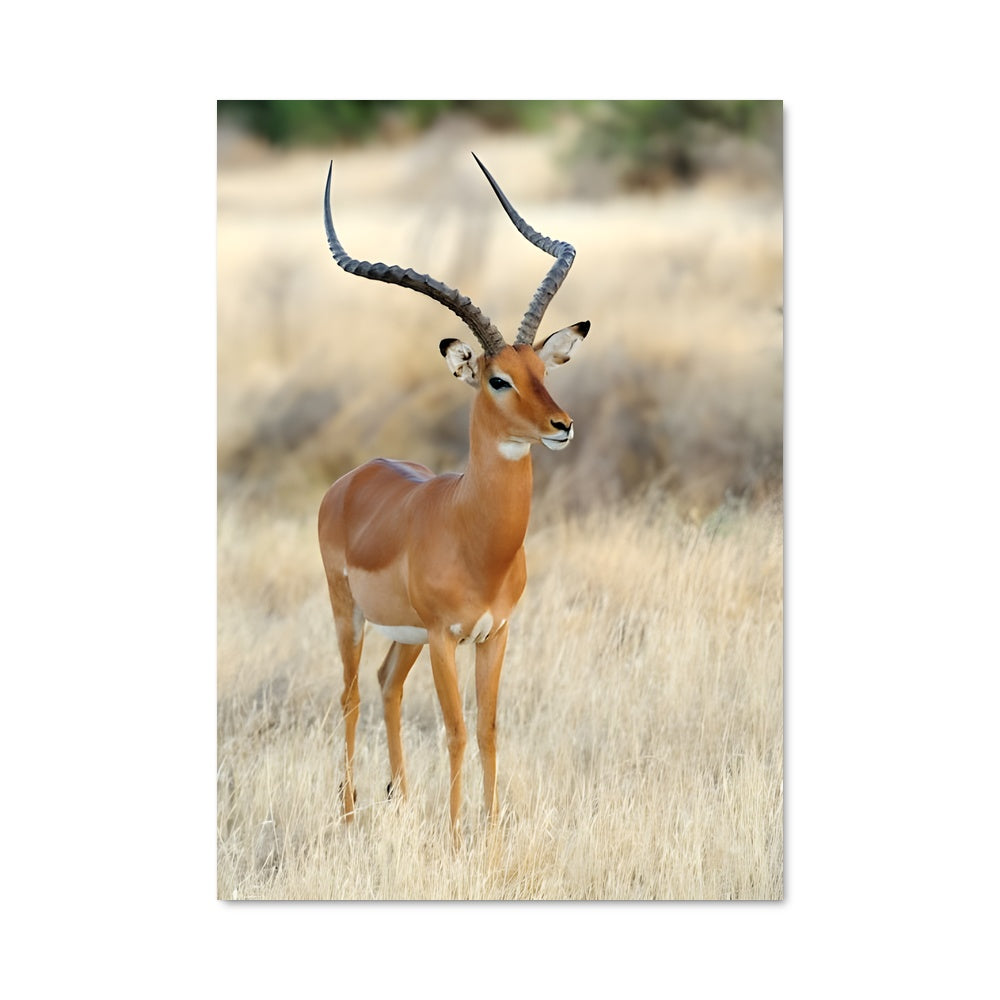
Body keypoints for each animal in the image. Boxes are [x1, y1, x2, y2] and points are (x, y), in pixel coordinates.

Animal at [318, 153, 589, 842]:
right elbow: (457, 730)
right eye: (498, 380)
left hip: (406, 636)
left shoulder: (495, 635)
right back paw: (350, 812)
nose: (562, 426)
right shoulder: (446, 636)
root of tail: (351, 479)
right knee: (351, 694)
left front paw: (488, 834)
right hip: (350, 613)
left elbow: (489, 730)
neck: (476, 536)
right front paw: (457, 836)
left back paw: (401, 800)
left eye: (542, 372)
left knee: (386, 685)